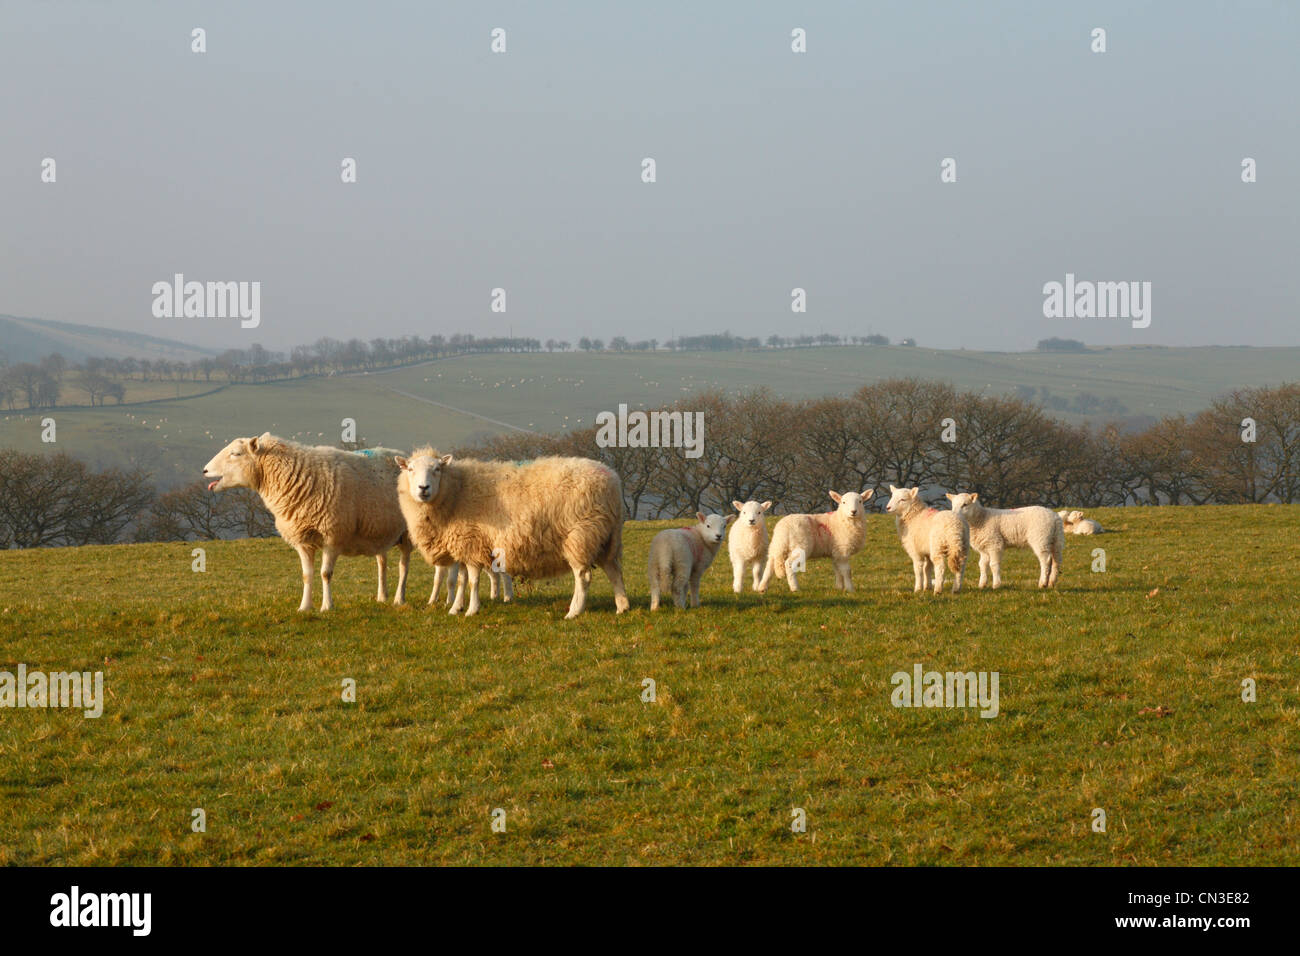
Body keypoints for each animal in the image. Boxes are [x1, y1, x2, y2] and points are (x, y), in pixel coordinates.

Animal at [202, 434, 411, 611]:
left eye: (236, 453)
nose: (204, 470)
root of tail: (405, 456)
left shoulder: (332, 537)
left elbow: (325, 574)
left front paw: (327, 606)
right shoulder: (302, 540)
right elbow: (306, 575)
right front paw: (304, 607)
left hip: (408, 532)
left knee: (404, 566)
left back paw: (399, 599)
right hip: (380, 531)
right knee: (382, 561)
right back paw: (382, 597)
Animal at [396, 449, 628, 618]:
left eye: (437, 469)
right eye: (410, 469)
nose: (423, 488)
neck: (456, 491)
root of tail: (614, 482)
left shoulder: (472, 541)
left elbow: (472, 581)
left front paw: (471, 610)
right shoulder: (463, 545)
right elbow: (462, 580)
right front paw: (456, 608)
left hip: (580, 536)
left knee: (583, 576)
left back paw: (574, 612)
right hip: (606, 536)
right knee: (614, 570)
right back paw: (622, 607)